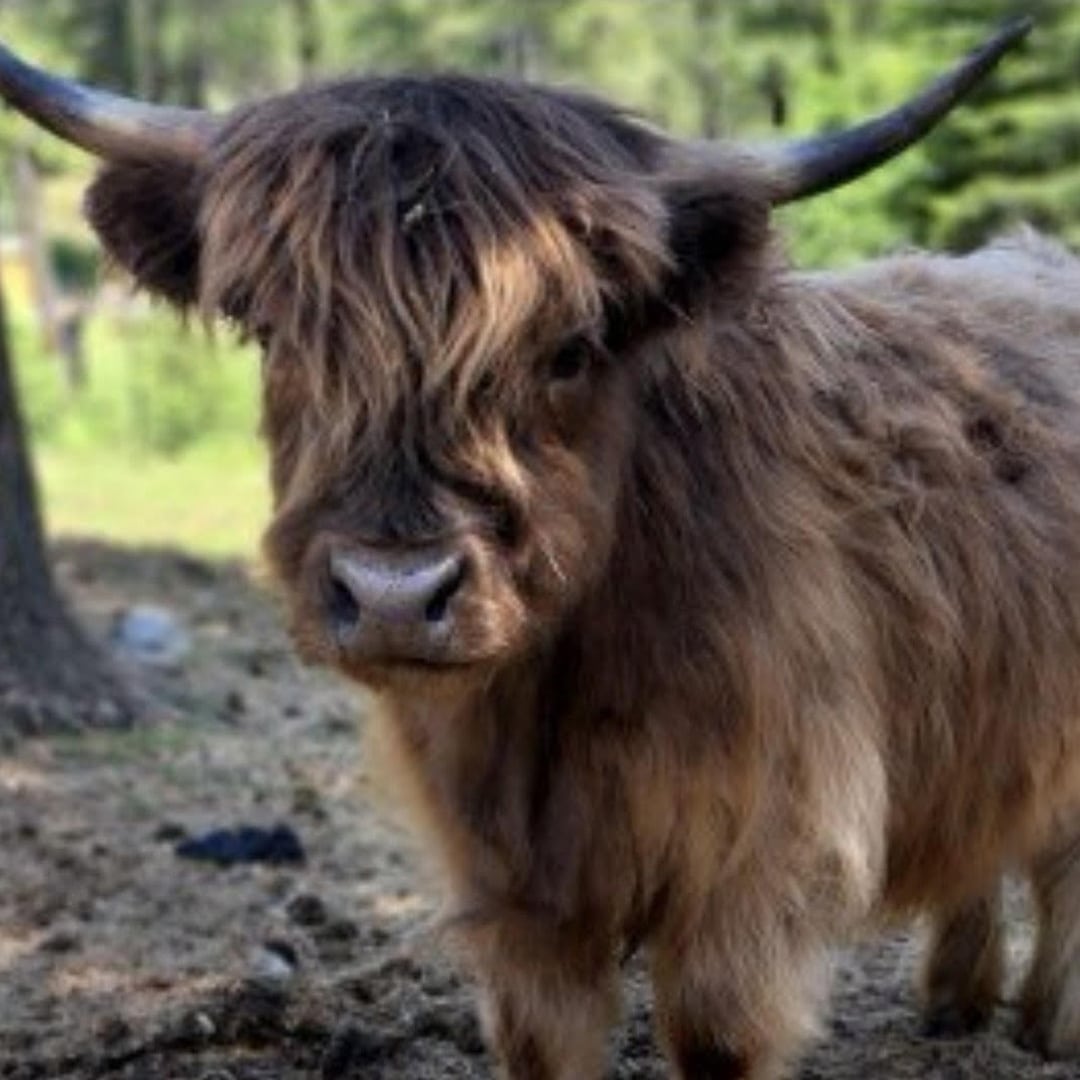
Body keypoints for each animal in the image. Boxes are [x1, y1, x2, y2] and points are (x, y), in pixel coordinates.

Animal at [3, 17, 1079, 1079]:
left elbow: (717, 1037)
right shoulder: (512, 894)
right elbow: (538, 1041)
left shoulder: (758, 862)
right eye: (274, 334)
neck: (563, 688)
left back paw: (1048, 1022)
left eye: (570, 348)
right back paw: (954, 1000)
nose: (393, 595)